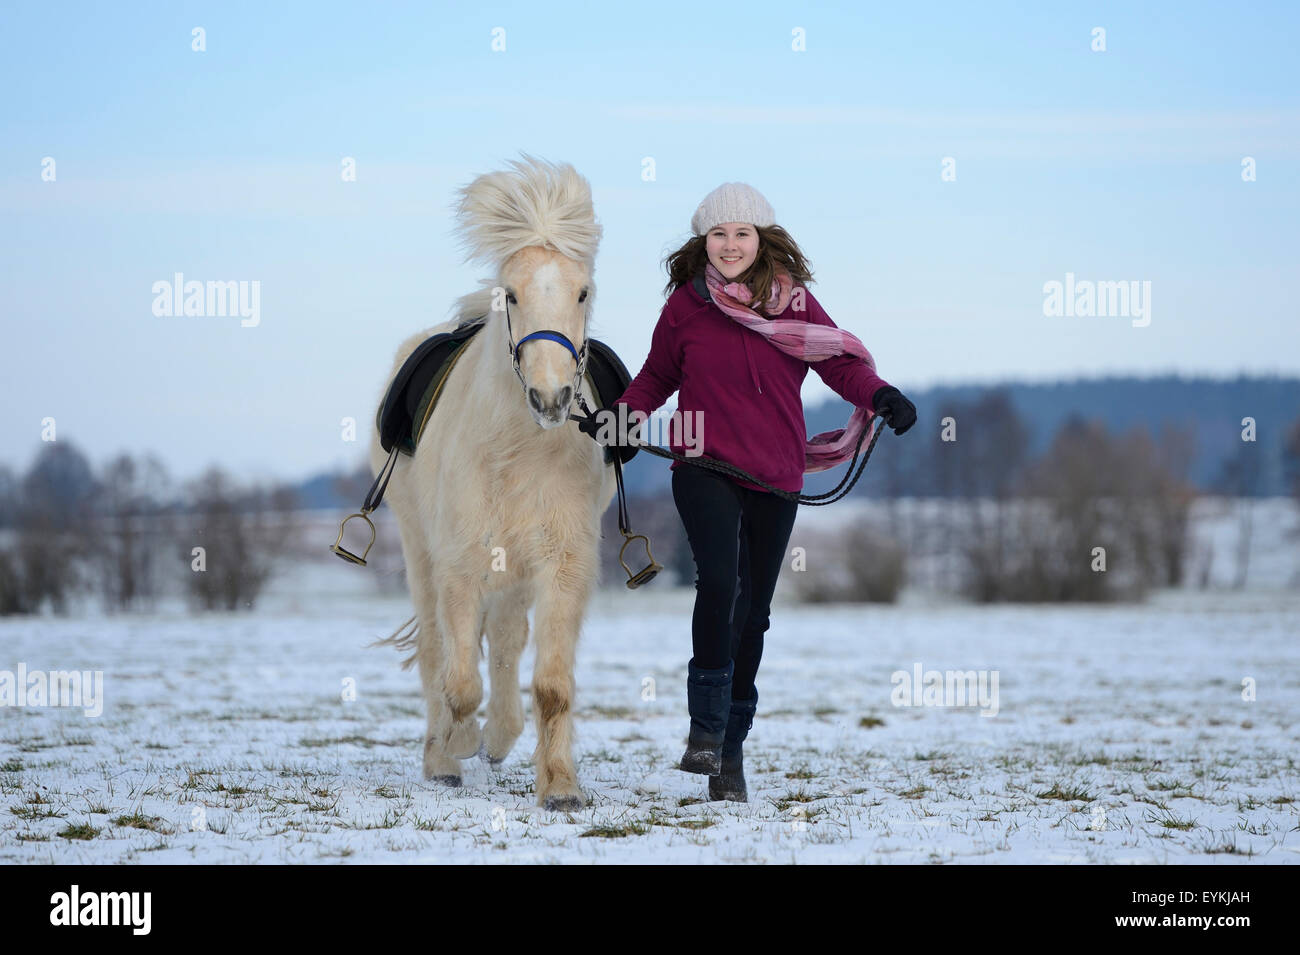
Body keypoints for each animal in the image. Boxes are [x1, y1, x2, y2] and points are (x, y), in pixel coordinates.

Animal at [369, 155, 617, 811]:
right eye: (512, 293)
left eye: (583, 291)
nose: (552, 398)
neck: (516, 449)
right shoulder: (458, 564)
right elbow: (458, 682)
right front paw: (457, 743)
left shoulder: (561, 564)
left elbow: (551, 683)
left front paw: (559, 786)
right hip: (421, 553)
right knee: (437, 652)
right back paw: (444, 758)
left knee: (506, 641)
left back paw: (501, 737)